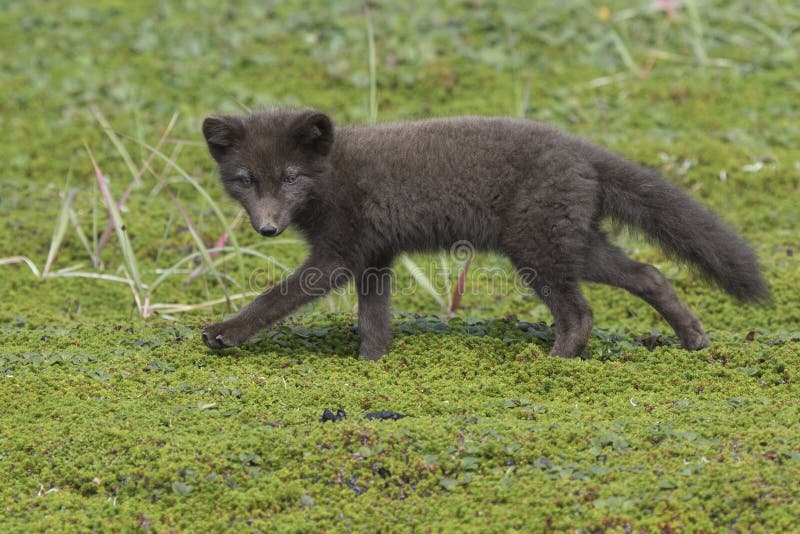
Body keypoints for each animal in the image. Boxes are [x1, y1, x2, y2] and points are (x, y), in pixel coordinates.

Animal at [200, 108, 767, 360]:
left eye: (290, 177)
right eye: (246, 179)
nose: (267, 227)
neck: (331, 176)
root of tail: (583, 149)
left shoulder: (340, 254)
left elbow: (277, 296)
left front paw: (225, 332)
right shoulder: (375, 256)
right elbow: (373, 320)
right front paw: (372, 363)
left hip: (537, 249)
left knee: (580, 312)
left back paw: (555, 362)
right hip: (576, 243)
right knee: (650, 273)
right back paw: (694, 340)